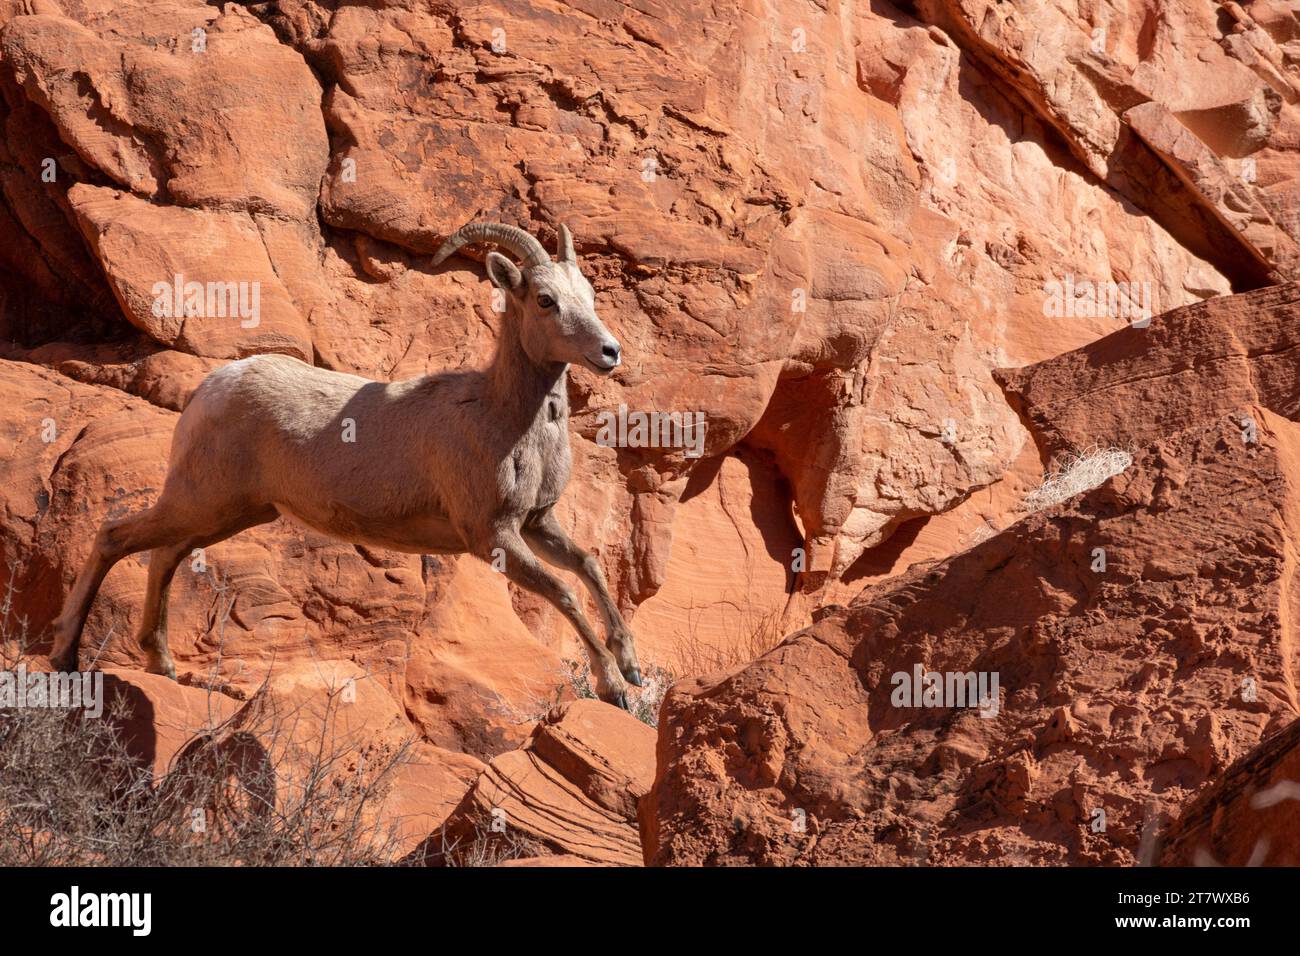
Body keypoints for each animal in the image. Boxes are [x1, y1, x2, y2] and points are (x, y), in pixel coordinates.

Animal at [48, 221, 644, 710]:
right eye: (545, 300)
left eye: (588, 296)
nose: (610, 352)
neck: (501, 416)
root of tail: (211, 388)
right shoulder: (492, 535)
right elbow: (565, 590)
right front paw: (614, 688)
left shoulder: (538, 523)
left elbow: (589, 566)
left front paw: (632, 667)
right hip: (201, 503)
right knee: (113, 537)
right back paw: (64, 657)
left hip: (227, 512)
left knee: (164, 556)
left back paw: (162, 664)